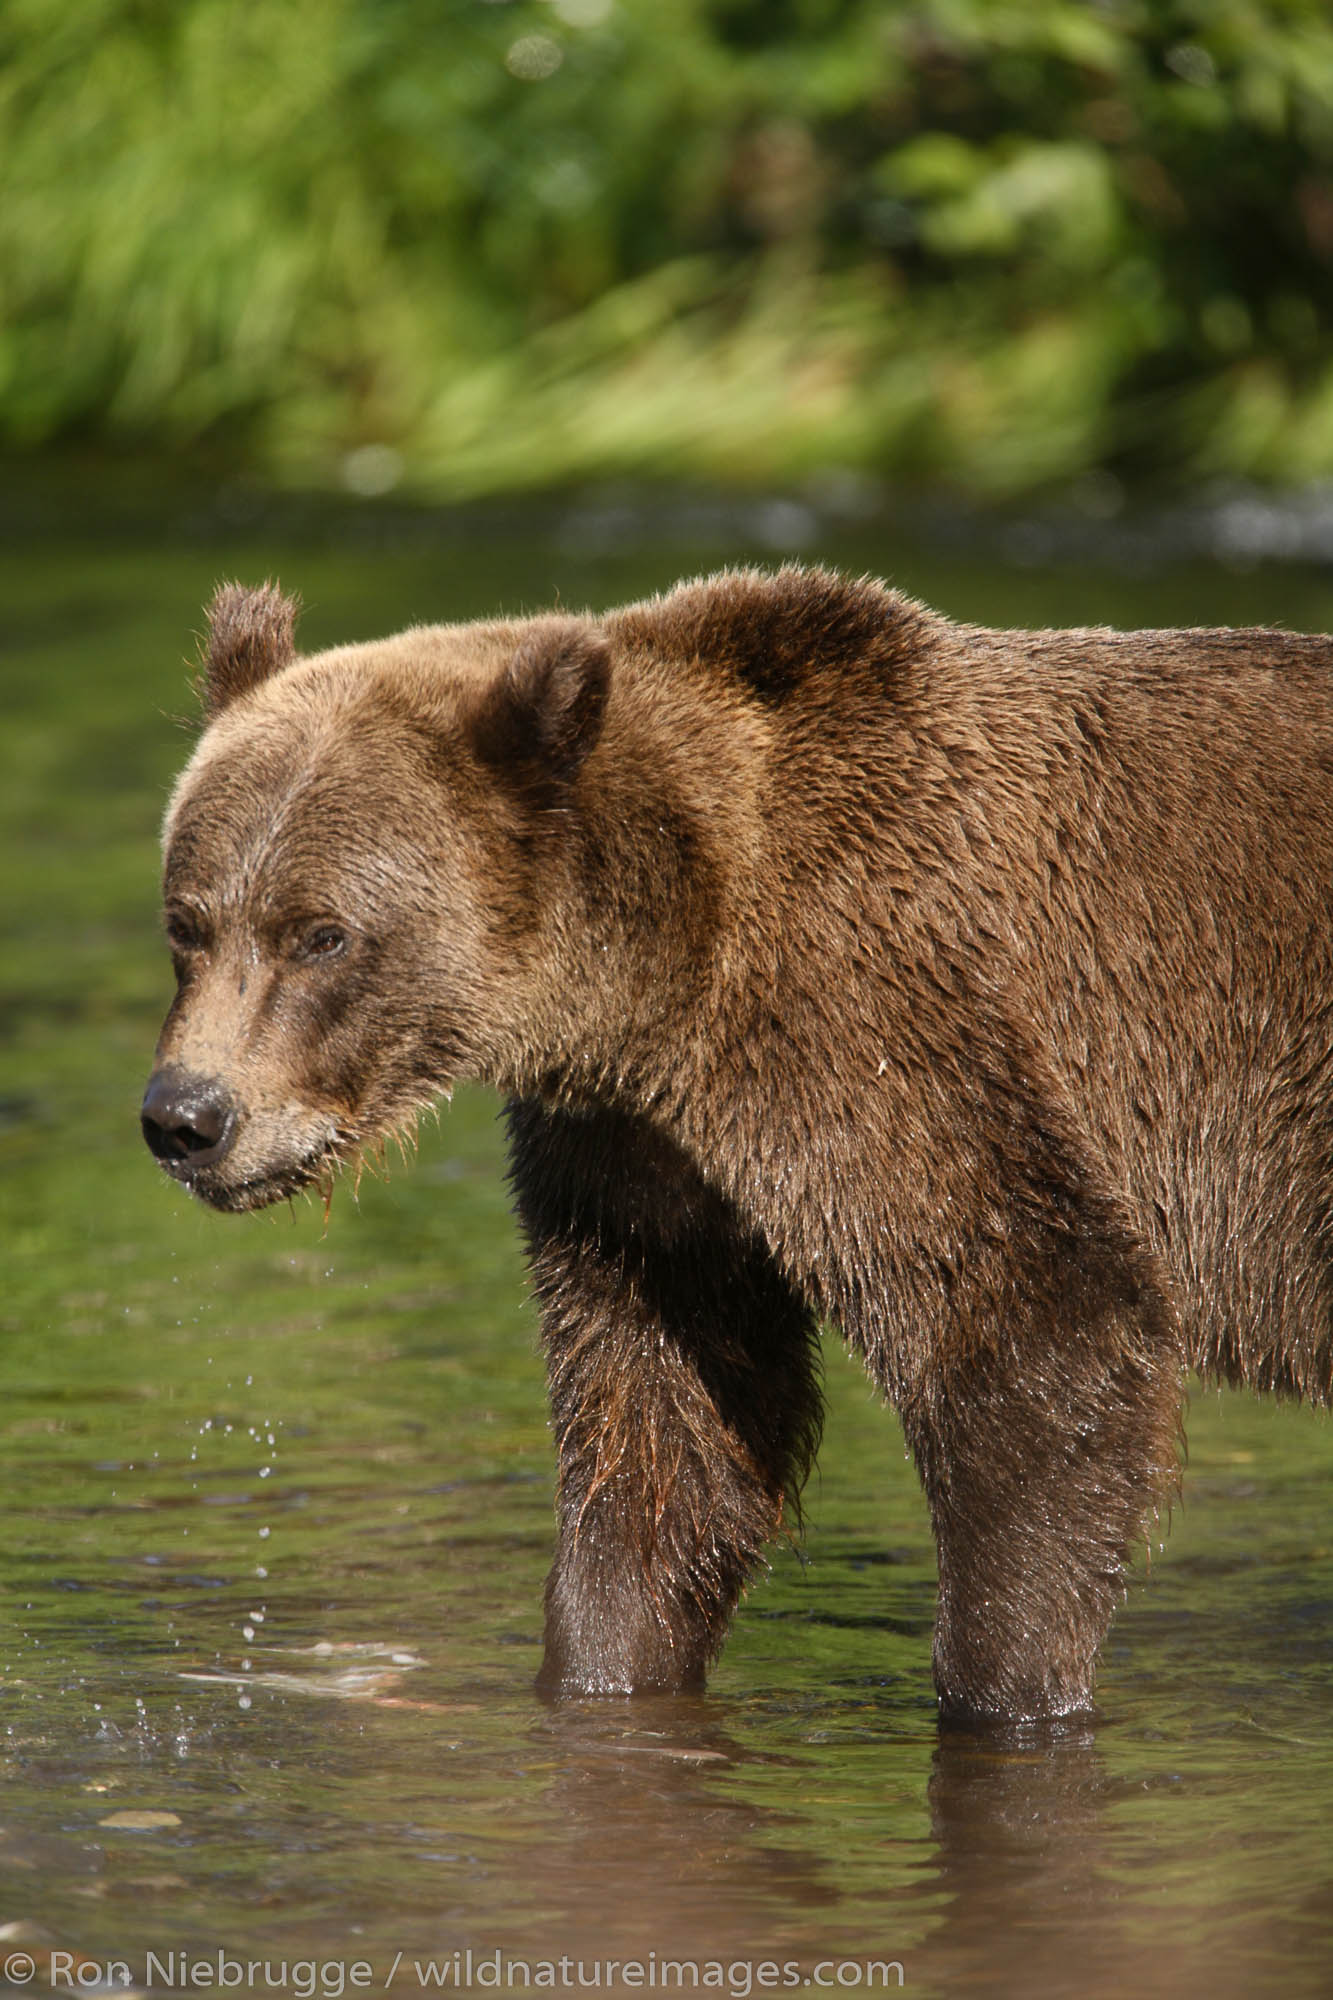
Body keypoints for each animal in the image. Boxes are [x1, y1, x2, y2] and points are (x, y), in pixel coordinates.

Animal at [141, 568, 1333, 1724]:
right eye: (188, 922)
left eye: (321, 933)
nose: (187, 1117)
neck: (665, 969)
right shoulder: (644, 1158)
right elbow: (667, 1432)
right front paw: (601, 1668)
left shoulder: (877, 1020)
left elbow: (1034, 1335)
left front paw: (1007, 1685)